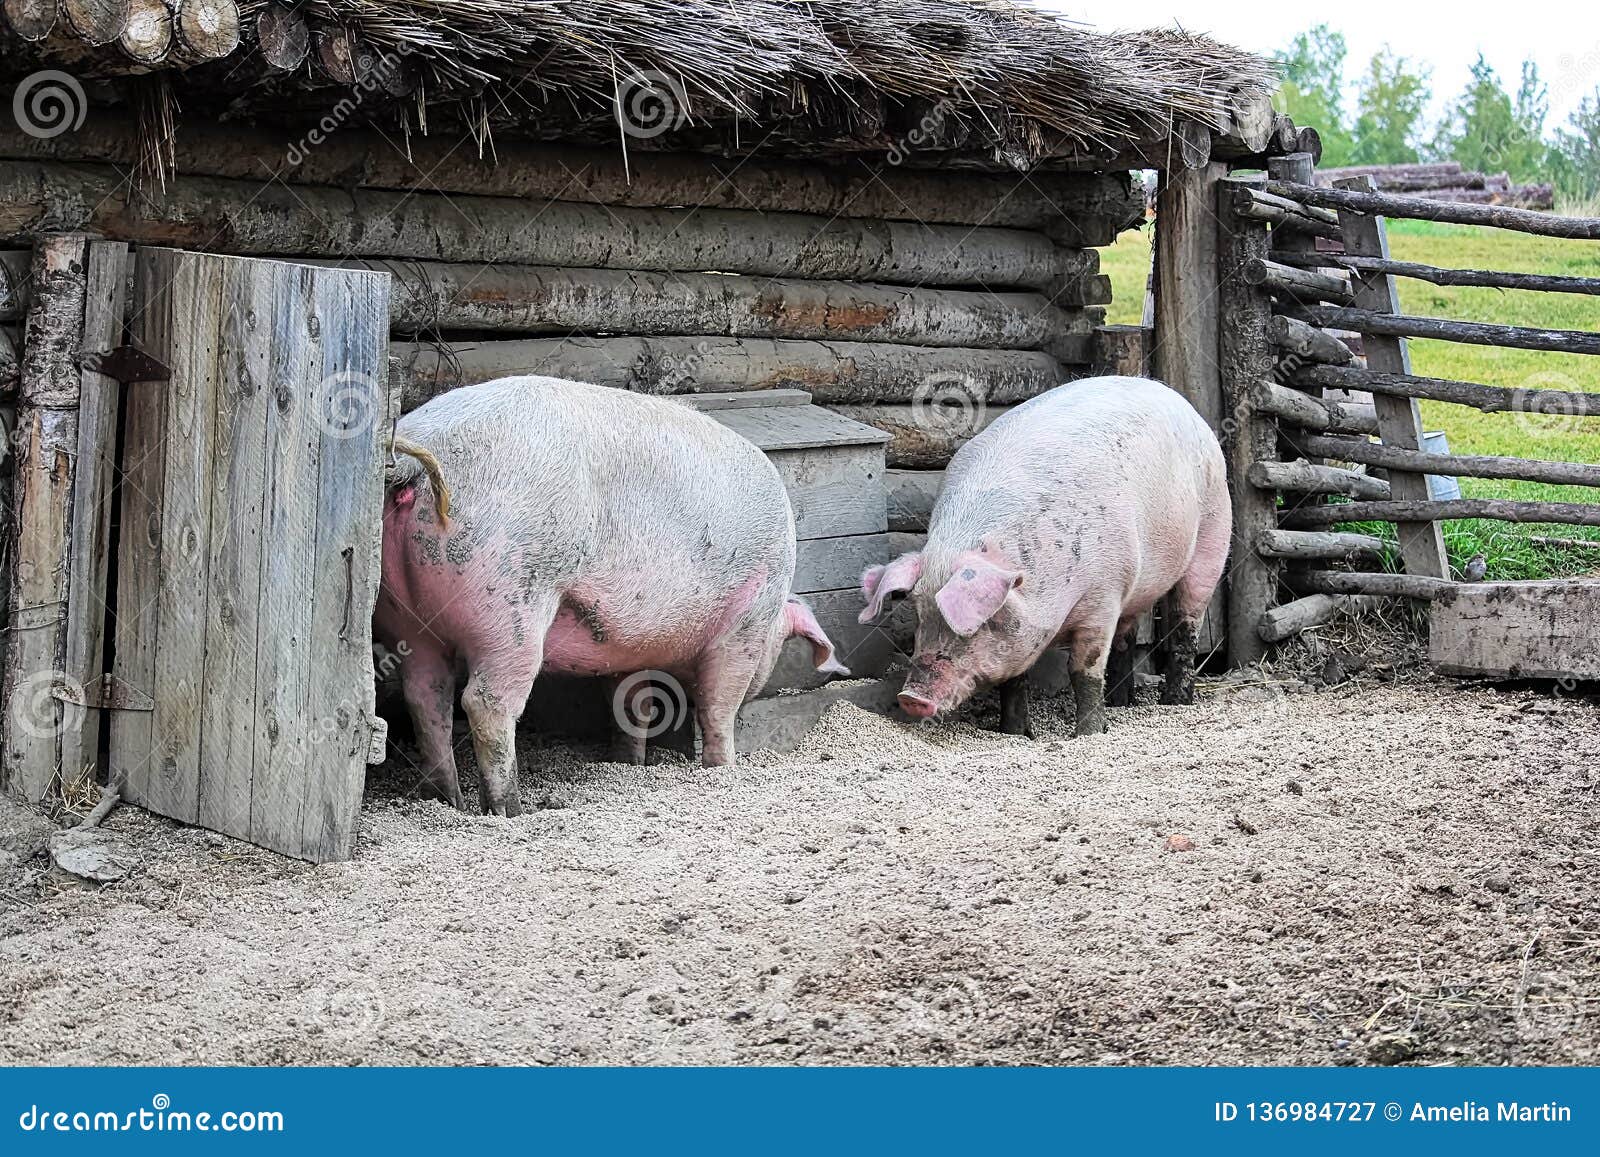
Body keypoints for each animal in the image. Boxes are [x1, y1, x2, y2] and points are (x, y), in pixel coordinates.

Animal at [378, 376, 848, 816]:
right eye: (779, 642)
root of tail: (420, 453)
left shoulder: (625, 645)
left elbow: (632, 703)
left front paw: (629, 762)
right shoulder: (745, 622)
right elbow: (718, 705)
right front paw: (723, 769)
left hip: (405, 618)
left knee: (426, 698)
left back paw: (446, 800)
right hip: (512, 596)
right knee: (485, 701)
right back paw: (511, 809)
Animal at [858, 376, 1230, 738]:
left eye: (983, 621)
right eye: (919, 614)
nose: (911, 698)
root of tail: (1172, 395)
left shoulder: (1104, 594)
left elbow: (1083, 671)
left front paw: (1088, 735)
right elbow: (1014, 679)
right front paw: (1015, 733)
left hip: (1213, 529)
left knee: (1186, 622)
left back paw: (1175, 702)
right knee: (1126, 638)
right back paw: (1121, 704)